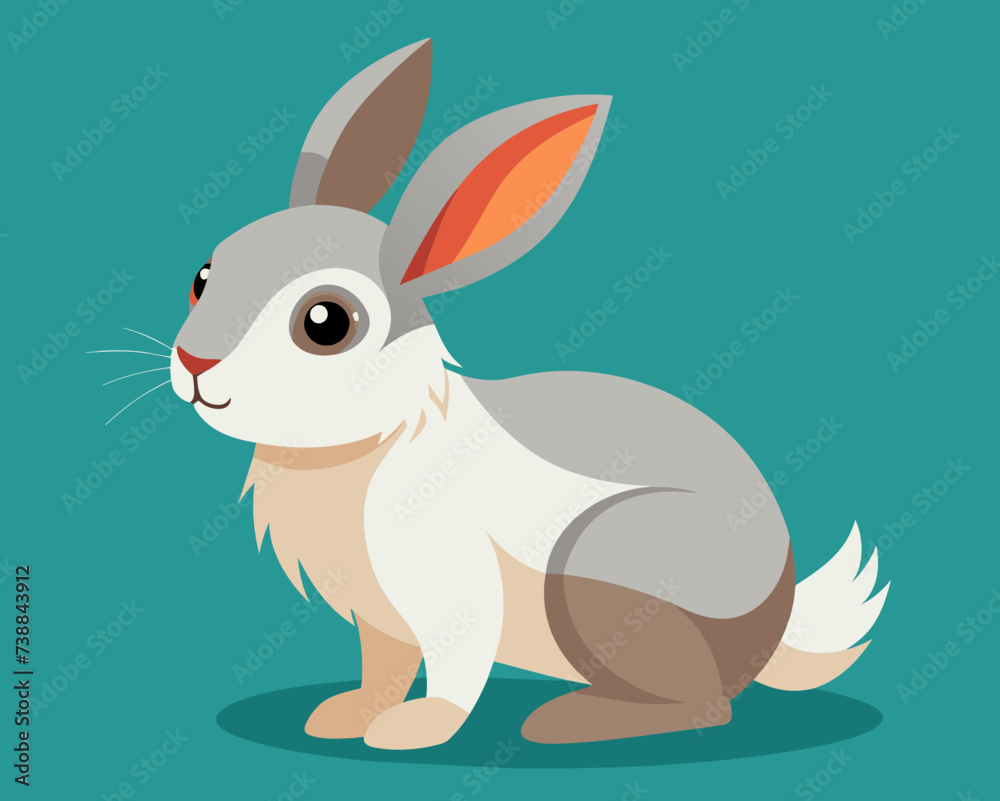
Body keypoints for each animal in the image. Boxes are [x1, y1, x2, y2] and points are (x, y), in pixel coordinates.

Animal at [170, 39, 889, 749]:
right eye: (203, 276)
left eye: (326, 322)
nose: (194, 364)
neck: (378, 436)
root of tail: (775, 622)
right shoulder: (379, 618)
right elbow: (385, 669)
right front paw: (346, 718)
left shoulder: (454, 592)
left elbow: (456, 666)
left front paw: (415, 730)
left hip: (601, 568)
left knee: (707, 707)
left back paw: (567, 721)